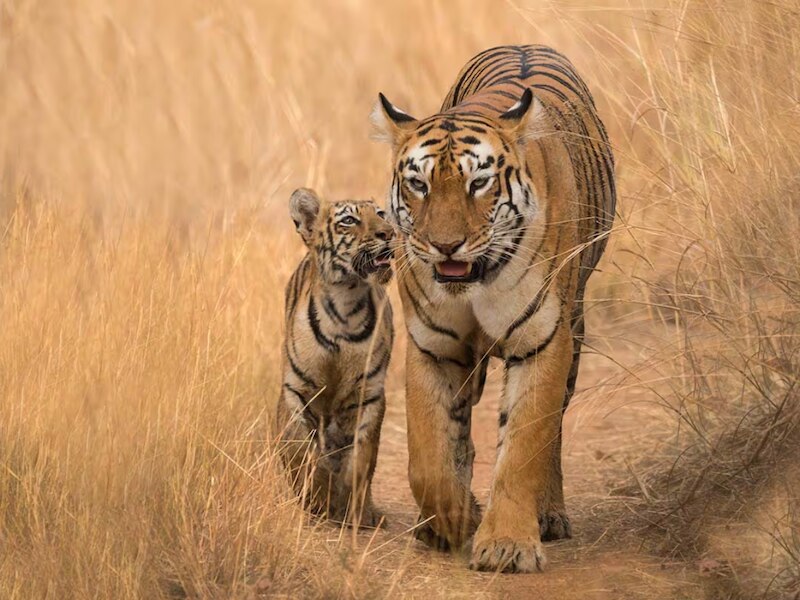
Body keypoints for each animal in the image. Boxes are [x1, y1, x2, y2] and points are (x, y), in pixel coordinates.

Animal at [274, 188, 395, 528]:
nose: (389, 233)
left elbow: (362, 456)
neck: (345, 306)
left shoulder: (368, 394)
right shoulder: (296, 388)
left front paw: (353, 508)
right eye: (349, 221)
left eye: (381, 214)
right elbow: (298, 447)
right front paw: (315, 496)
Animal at [371, 45, 616, 572]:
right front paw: (452, 519)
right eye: (418, 185)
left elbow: (523, 447)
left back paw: (550, 515)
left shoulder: (543, 339)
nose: (445, 246)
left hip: (575, 327)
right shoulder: (434, 346)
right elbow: (429, 453)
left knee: (553, 433)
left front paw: (507, 545)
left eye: (478, 183)